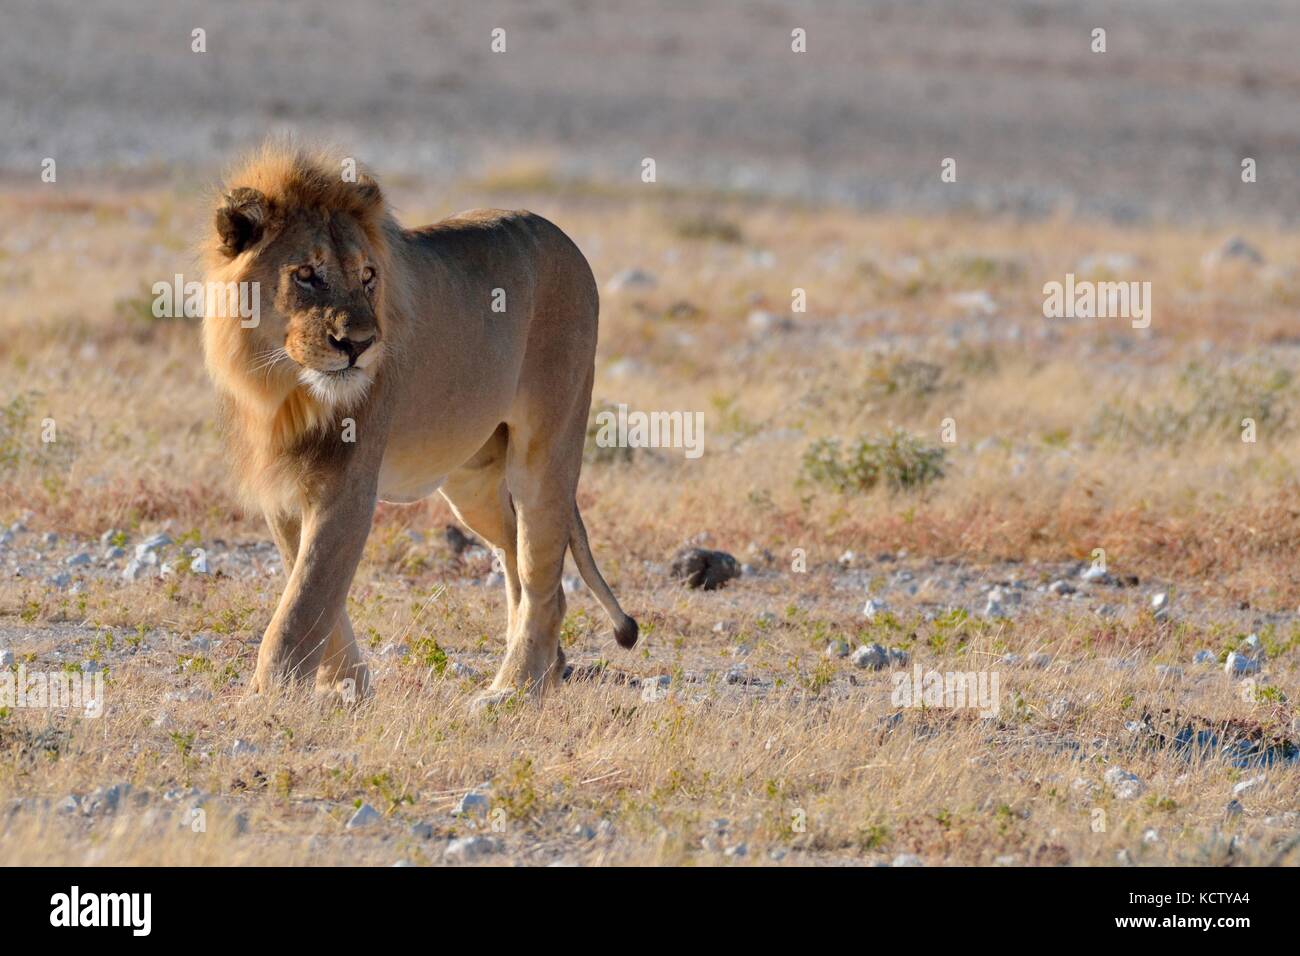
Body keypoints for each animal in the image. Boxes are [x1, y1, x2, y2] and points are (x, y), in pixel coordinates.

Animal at [201, 141, 637, 705]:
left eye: (368, 276)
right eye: (306, 274)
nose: (360, 345)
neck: (285, 388)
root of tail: (565, 240)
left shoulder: (347, 485)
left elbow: (303, 604)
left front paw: (268, 699)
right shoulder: (283, 489)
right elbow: (316, 594)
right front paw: (346, 686)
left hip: (546, 450)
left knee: (542, 575)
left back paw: (512, 690)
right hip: (474, 481)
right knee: (518, 556)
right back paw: (546, 669)